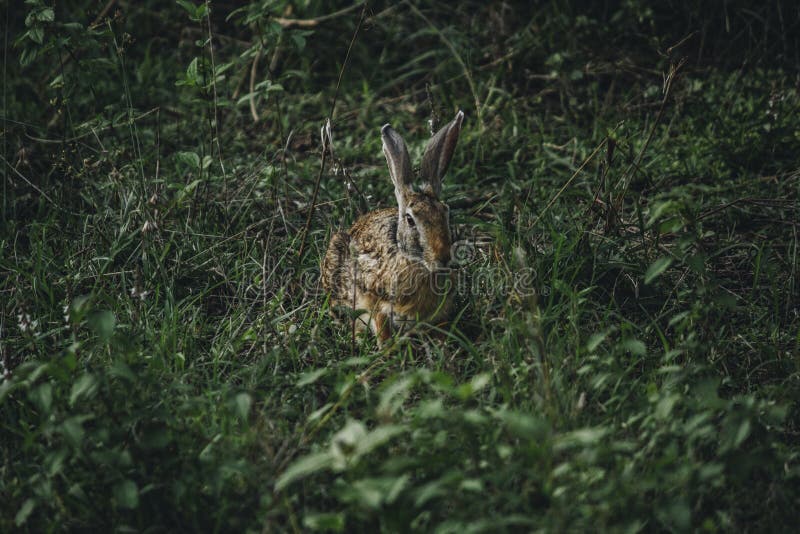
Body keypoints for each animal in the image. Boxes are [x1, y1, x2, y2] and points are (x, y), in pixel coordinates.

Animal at [321, 110, 465, 344]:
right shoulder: (375, 302)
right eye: (410, 220)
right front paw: (387, 348)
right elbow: (382, 328)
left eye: (446, 213)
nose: (444, 257)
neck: (418, 263)